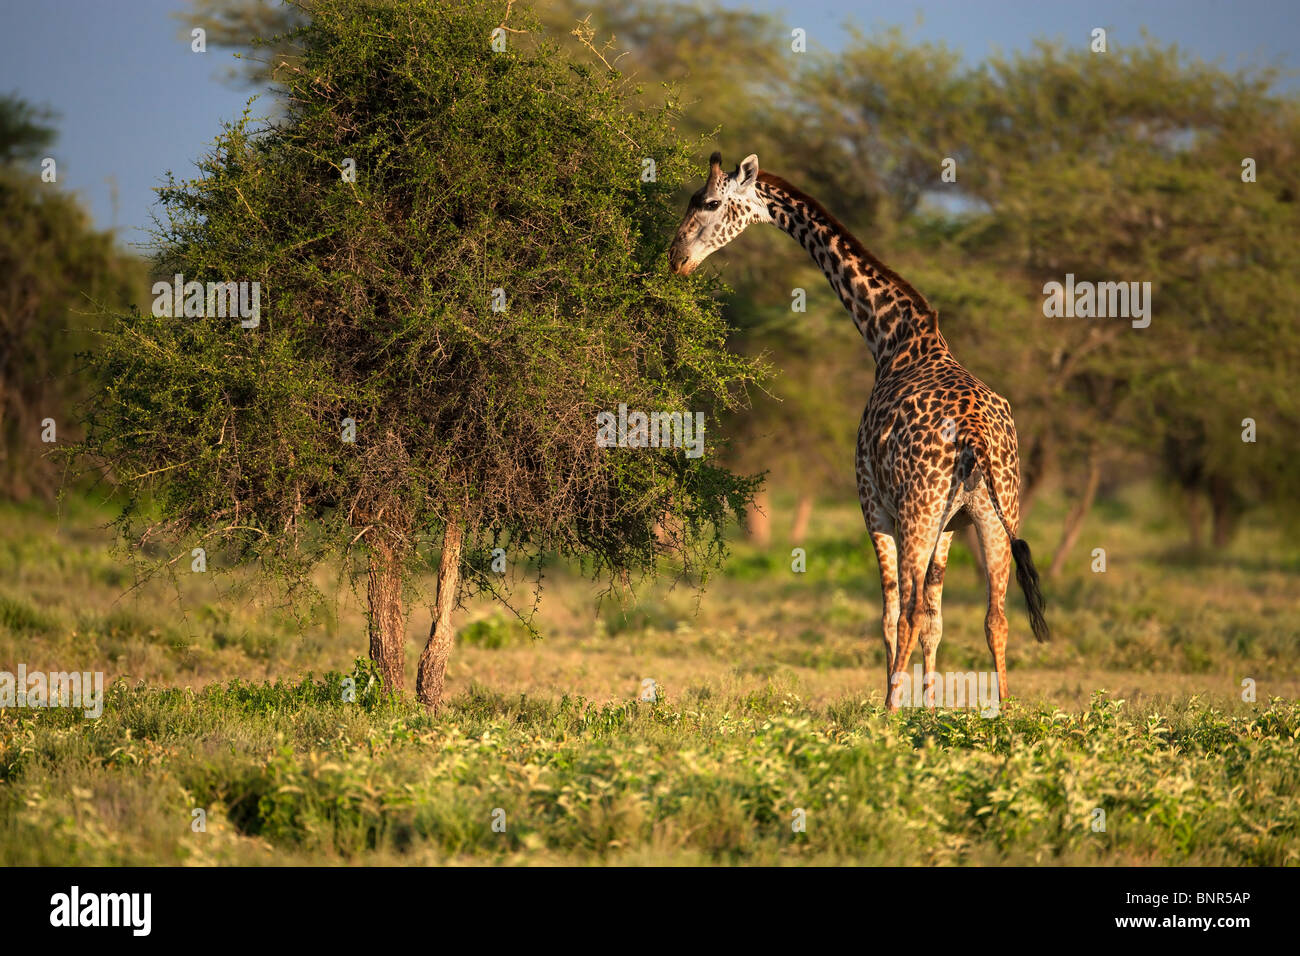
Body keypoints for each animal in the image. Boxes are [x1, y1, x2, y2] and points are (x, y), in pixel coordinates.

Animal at [669, 152, 1049, 712]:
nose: (675, 258)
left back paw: (891, 707)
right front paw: (929, 709)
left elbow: (893, 614)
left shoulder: (873, 504)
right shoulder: (949, 526)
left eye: (711, 202)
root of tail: (976, 436)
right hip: (994, 515)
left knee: (908, 611)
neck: (891, 340)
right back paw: (1002, 714)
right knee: (995, 616)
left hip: (917, 512)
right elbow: (936, 619)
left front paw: (898, 708)